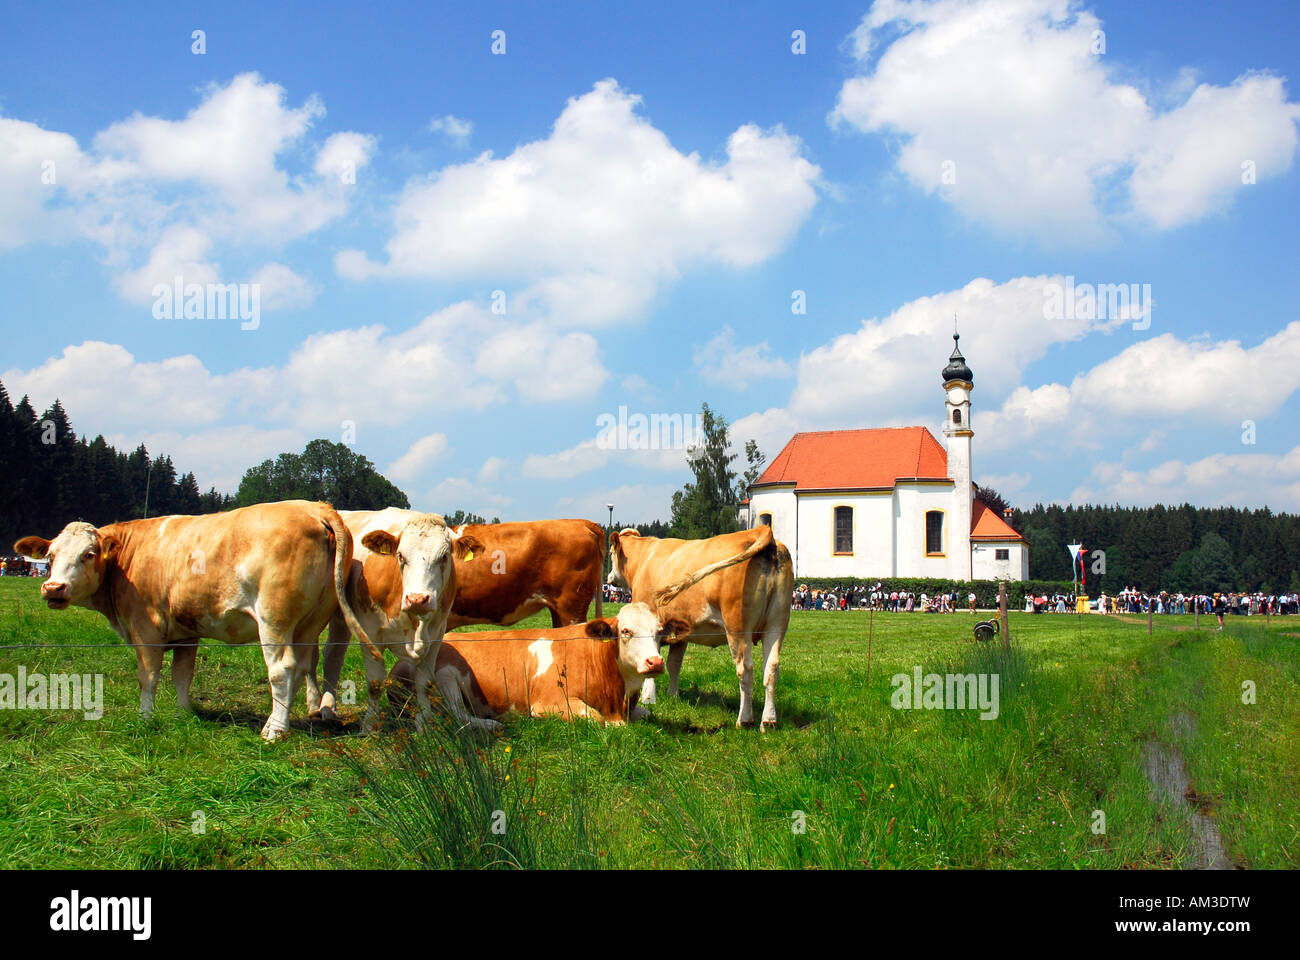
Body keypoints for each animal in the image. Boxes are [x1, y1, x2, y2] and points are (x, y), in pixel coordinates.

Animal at [12, 500, 368, 741]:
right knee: (304, 665)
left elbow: (148, 677)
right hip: (309, 622)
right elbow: (182, 676)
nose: (53, 588)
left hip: (274, 620)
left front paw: (145, 719)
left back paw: (274, 730)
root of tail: (314, 507)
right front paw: (183, 714)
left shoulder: (145, 627)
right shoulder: (186, 633)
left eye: (88, 554)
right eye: (51, 556)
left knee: (283, 670)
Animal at [321, 508, 484, 731]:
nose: (417, 599)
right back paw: (323, 708)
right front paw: (369, 726)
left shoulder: (437, 634)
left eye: (444, 556)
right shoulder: (370, 633)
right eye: (400, 555)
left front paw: (425, 723)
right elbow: (375, 683)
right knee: (329, 654)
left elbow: (425, 682)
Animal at [388, 602, 690, 726]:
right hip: (445, 676)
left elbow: (645, 713)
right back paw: (493, 724)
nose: (654, 662)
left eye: (660, 632)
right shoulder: (549, 702)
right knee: (455, 715)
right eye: (625, 631)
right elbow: (598, 719)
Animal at [607, 525, 793, 730]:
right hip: (776, 624)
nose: (609, 577)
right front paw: (673, 695)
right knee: (771, 668)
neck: (644, 560)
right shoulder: (680, 634)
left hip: (737, 627)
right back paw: (769, 720)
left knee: (745, 670)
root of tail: (761, 530)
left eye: (610, 553)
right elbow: (674, 664)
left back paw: (744, 719)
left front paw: (648, 698)